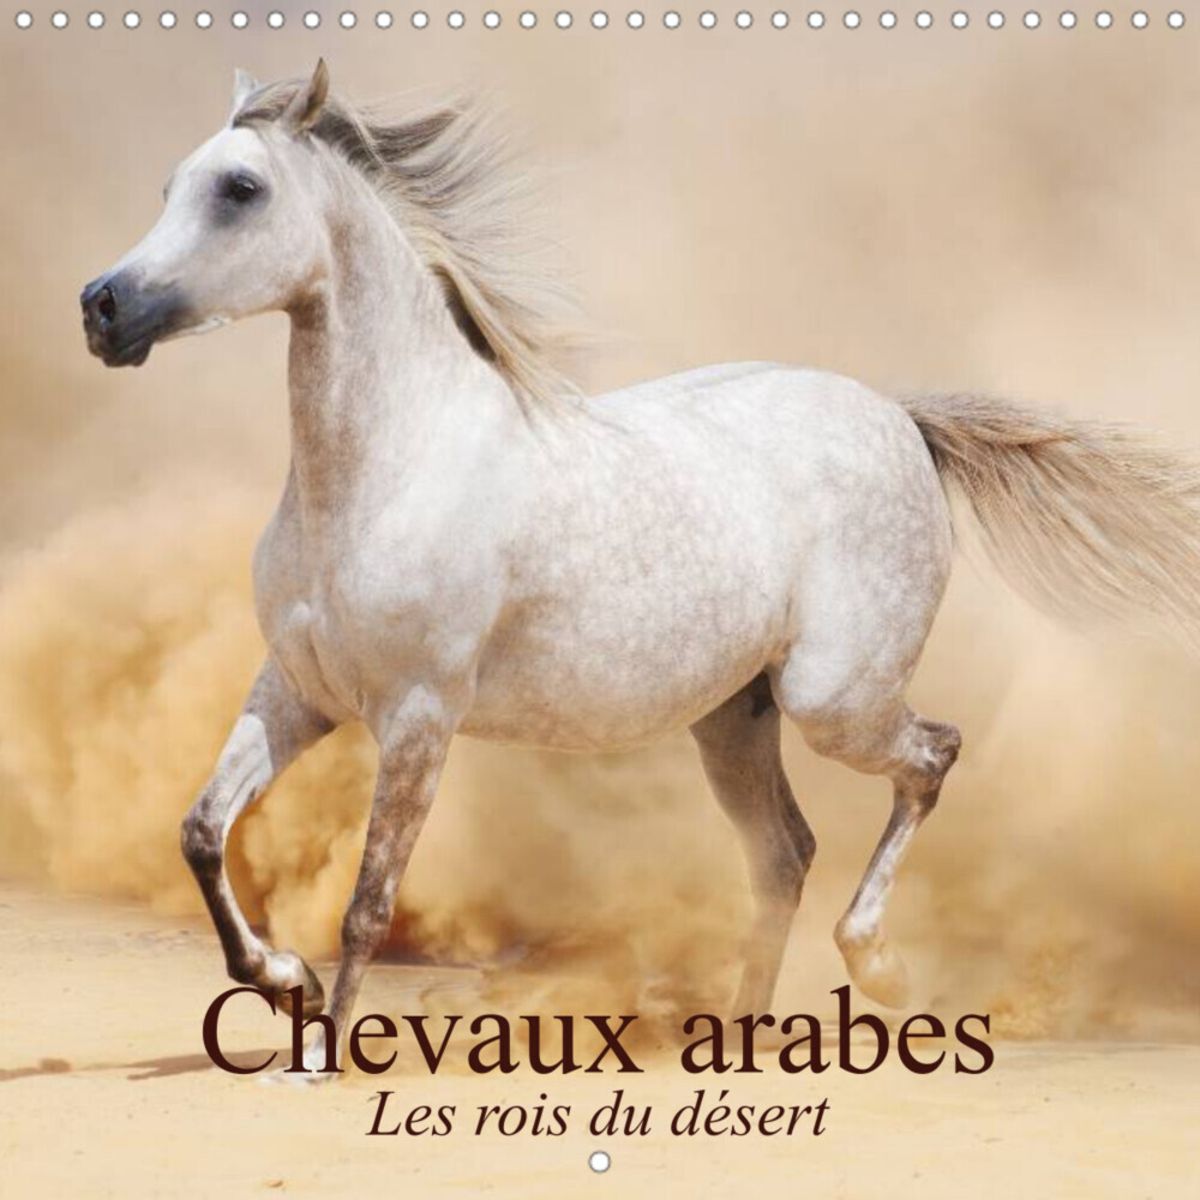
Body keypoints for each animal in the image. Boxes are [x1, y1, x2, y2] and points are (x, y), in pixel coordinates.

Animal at [80, 62, 1200, 1078]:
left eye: (241, 189)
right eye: (172, 184)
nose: (102, 308)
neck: (388, 467)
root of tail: (899, 417)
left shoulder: (418, 716)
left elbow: (368, 899)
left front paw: (322, 1050)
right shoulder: (299, 694)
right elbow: (201, 832)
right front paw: (283, 984)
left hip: (833, 699)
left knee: (931, 759)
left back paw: (875, 968)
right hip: (734, 718)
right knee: (785, 851)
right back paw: (738, 1036)